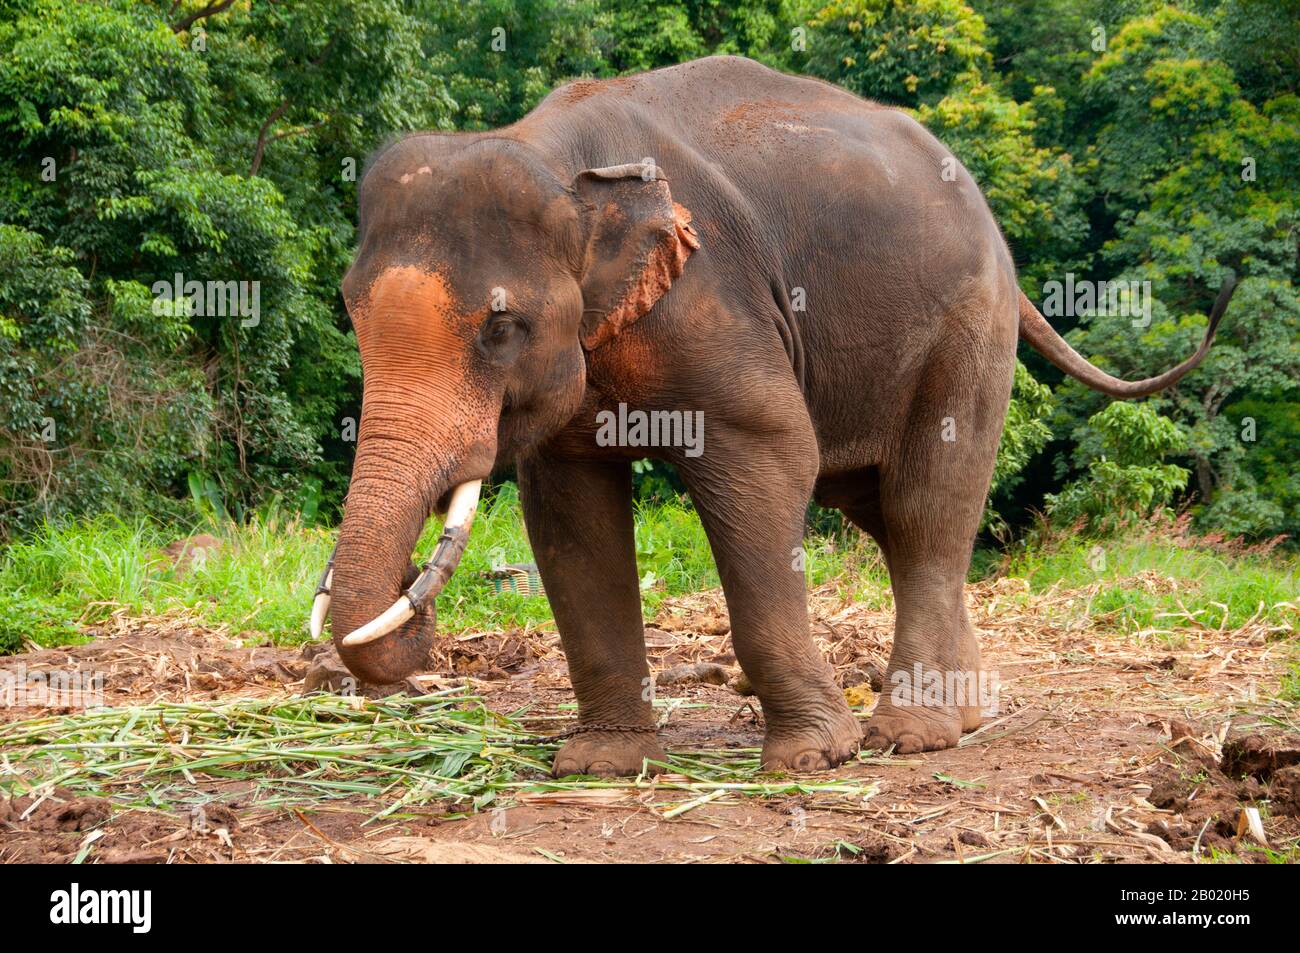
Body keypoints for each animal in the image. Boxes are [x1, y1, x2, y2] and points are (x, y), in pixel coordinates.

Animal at [312, 56, 1235, 776]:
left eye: (501, 325)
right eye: (349, 312)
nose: (416, 605)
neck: (553, 152)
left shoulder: (717, 300)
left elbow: (770, 456)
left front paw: (811, 758)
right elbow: (572, 515)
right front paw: (603, 763)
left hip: (969, 329)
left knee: (926, 506)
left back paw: (913, 736)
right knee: (880, 511)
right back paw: (962, 715)